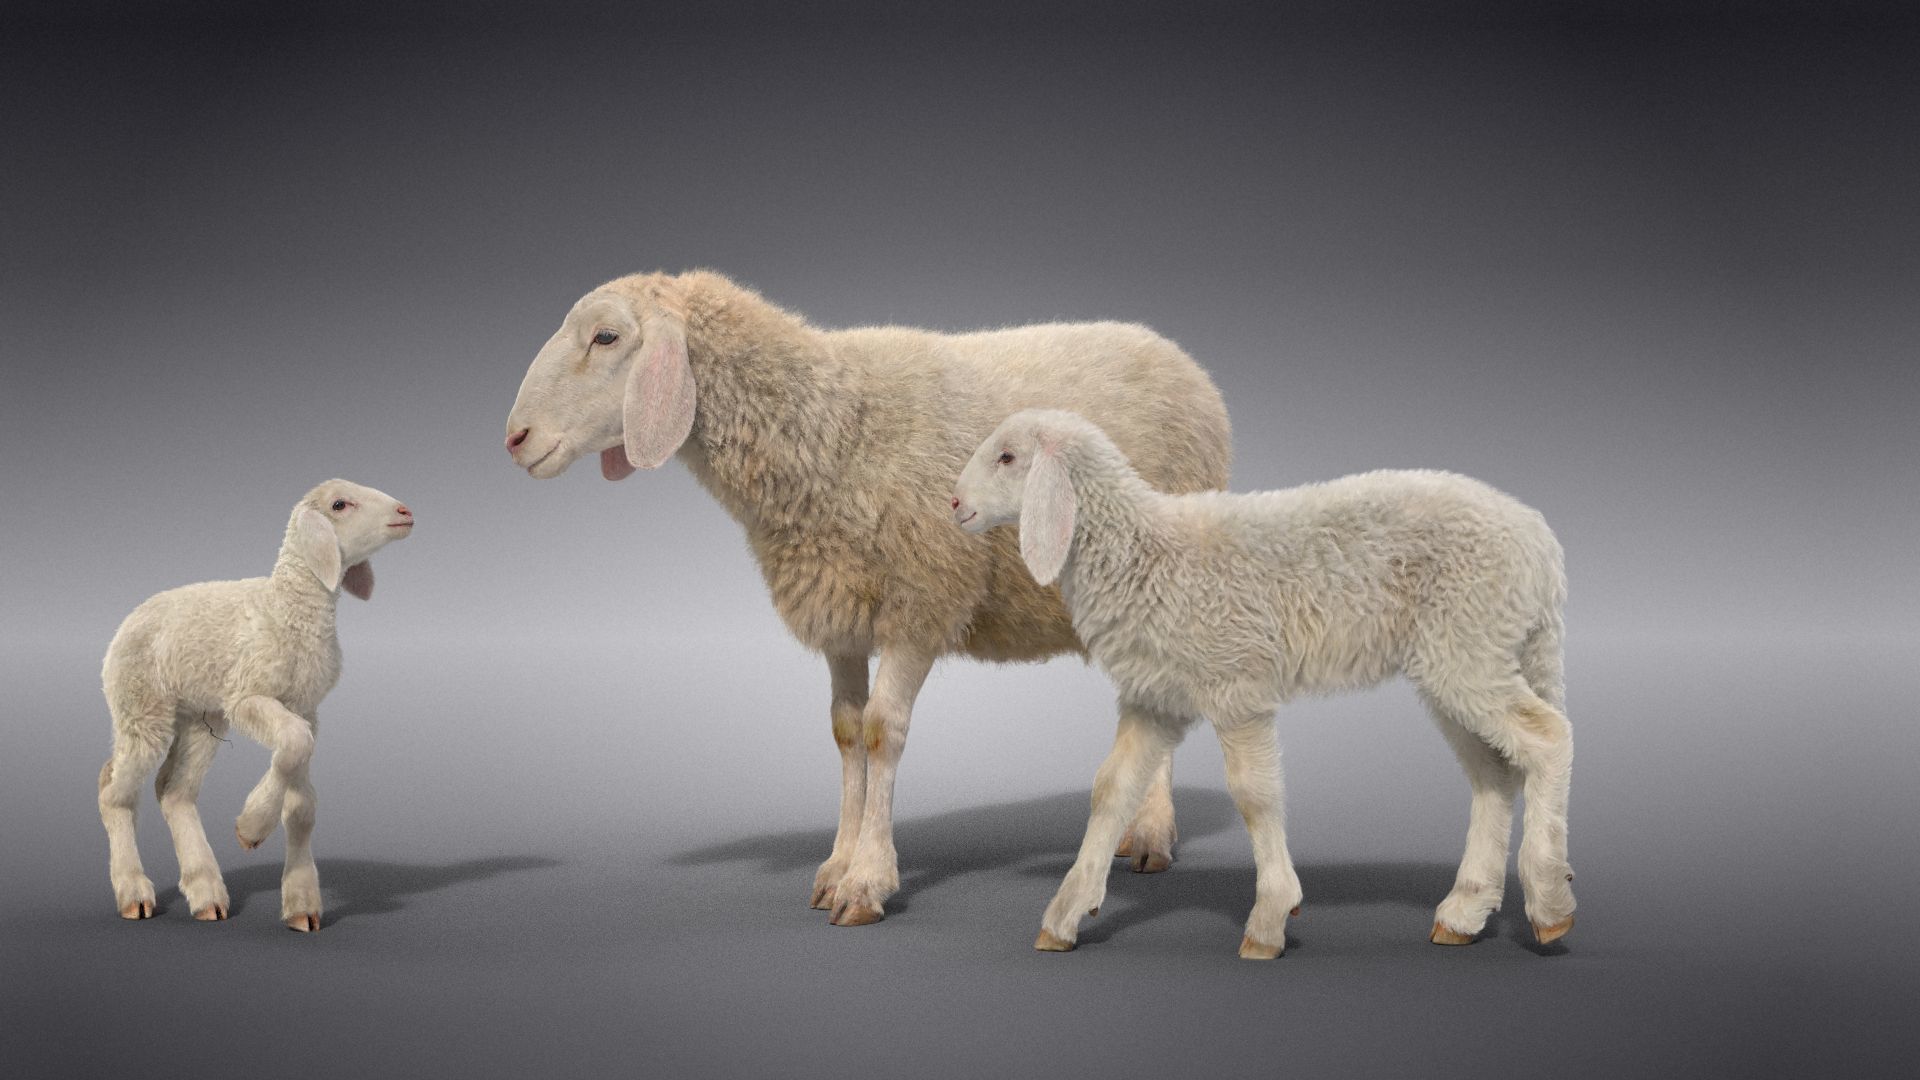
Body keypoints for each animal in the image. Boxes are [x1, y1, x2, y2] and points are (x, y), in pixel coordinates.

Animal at [97, 480, 413, 930]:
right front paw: (250, 828)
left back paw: (206, 894)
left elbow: (302, 804)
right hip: (143, 707)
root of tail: (126, 622)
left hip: (201, 718)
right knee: (114, 791)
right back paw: (134, 893)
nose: (405, 512)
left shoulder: (305, 707)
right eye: (339, 504)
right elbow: (294, 743)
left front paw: (301, 903)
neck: (288, 607)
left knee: (174, 791)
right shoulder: (247, 694)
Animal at [504, 270, 1231, 925]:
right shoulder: (840, 611)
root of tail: (1180, 357)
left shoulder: (921, 599)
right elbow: (847, 733)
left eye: (606, 336)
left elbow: (884, 733)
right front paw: (836, 866)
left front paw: (868, 881)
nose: (514, 439)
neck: (830, 421)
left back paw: (1152, 834)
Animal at [952, 409, 1575, 958]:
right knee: (1494, 774)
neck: (1140, 550)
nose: (955, 504)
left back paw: (1549, 902)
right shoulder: (1155, 697)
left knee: (1548, 739)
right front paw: (1066, 914)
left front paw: (1271, 917)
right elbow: (1112, 791)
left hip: (1471, 642)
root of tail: (1541, 545)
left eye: (1008, 457)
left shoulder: (1236, 683)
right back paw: (1465, 911)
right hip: (1461, 658)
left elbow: (1255, 794)